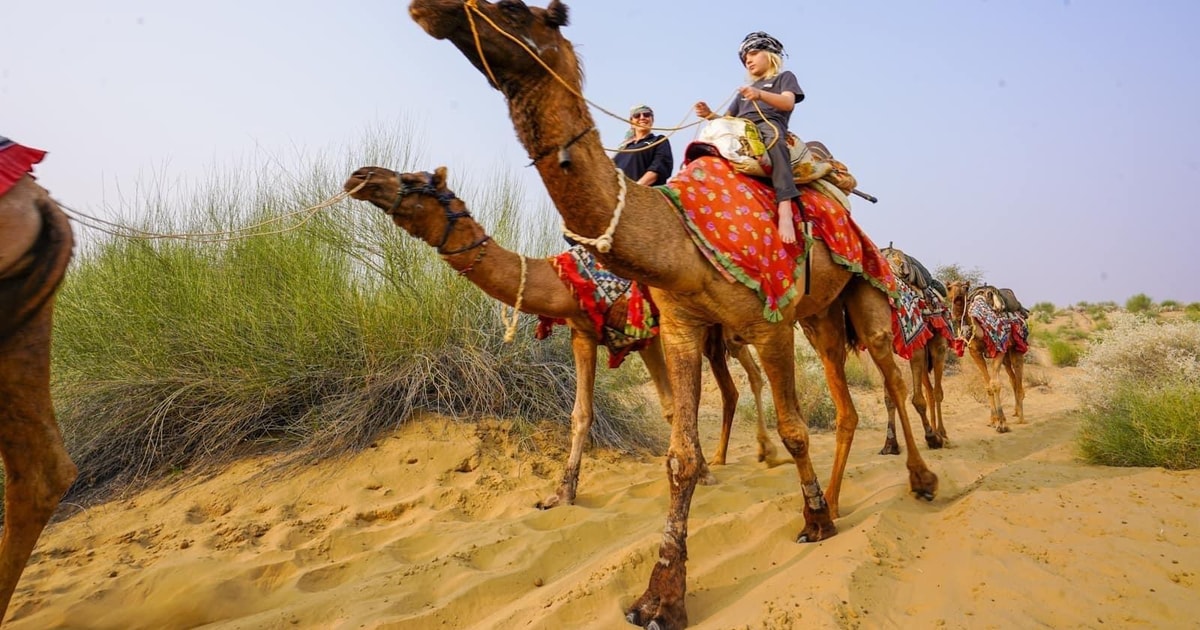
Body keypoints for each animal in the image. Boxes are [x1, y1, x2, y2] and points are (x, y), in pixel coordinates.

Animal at [343, 166, 780, 510]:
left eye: (416, 179)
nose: (360, 175)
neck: (566, 281)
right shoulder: (585, 334)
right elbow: (582, 413)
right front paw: (561, 493)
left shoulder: (645, 334)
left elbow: (673, 407)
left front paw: (700, 472)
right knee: (734, 386)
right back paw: (729, 455)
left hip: (721, 328)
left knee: (749, 376)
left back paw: (762, 451)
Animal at [408, 2, 936, 627]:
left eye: (514, 10)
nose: (429, 8)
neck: (679, 236)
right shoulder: (679, 327)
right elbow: (673, 452)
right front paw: (660, 594)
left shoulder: (765, 325)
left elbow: (796, 430)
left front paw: (811, 522)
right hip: (817, 317)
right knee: (840, 395)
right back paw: (832, 498)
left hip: (862, 288)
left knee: (891, 375)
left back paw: (919, 478)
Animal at [877, 247, 951, 453]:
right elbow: (889, 398)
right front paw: (890, 444)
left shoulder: (915, 349)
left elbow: (917, 399)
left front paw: (932, 438)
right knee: (930, 390)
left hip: (939, 345)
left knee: (937, 391)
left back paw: (942, 434)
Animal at [946, 280, 1028, 433]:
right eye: (948, 287)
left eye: (965, 287)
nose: (958, 295)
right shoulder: (975, 352)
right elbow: (987, 385)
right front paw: (993, 420)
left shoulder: (999, 347)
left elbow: (995, 384)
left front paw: (1002, 424)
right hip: (1007, 355)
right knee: (1012, 377)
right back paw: (1015, 411)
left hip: (1017, 346)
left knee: (1018, 371)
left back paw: (1021, 416)